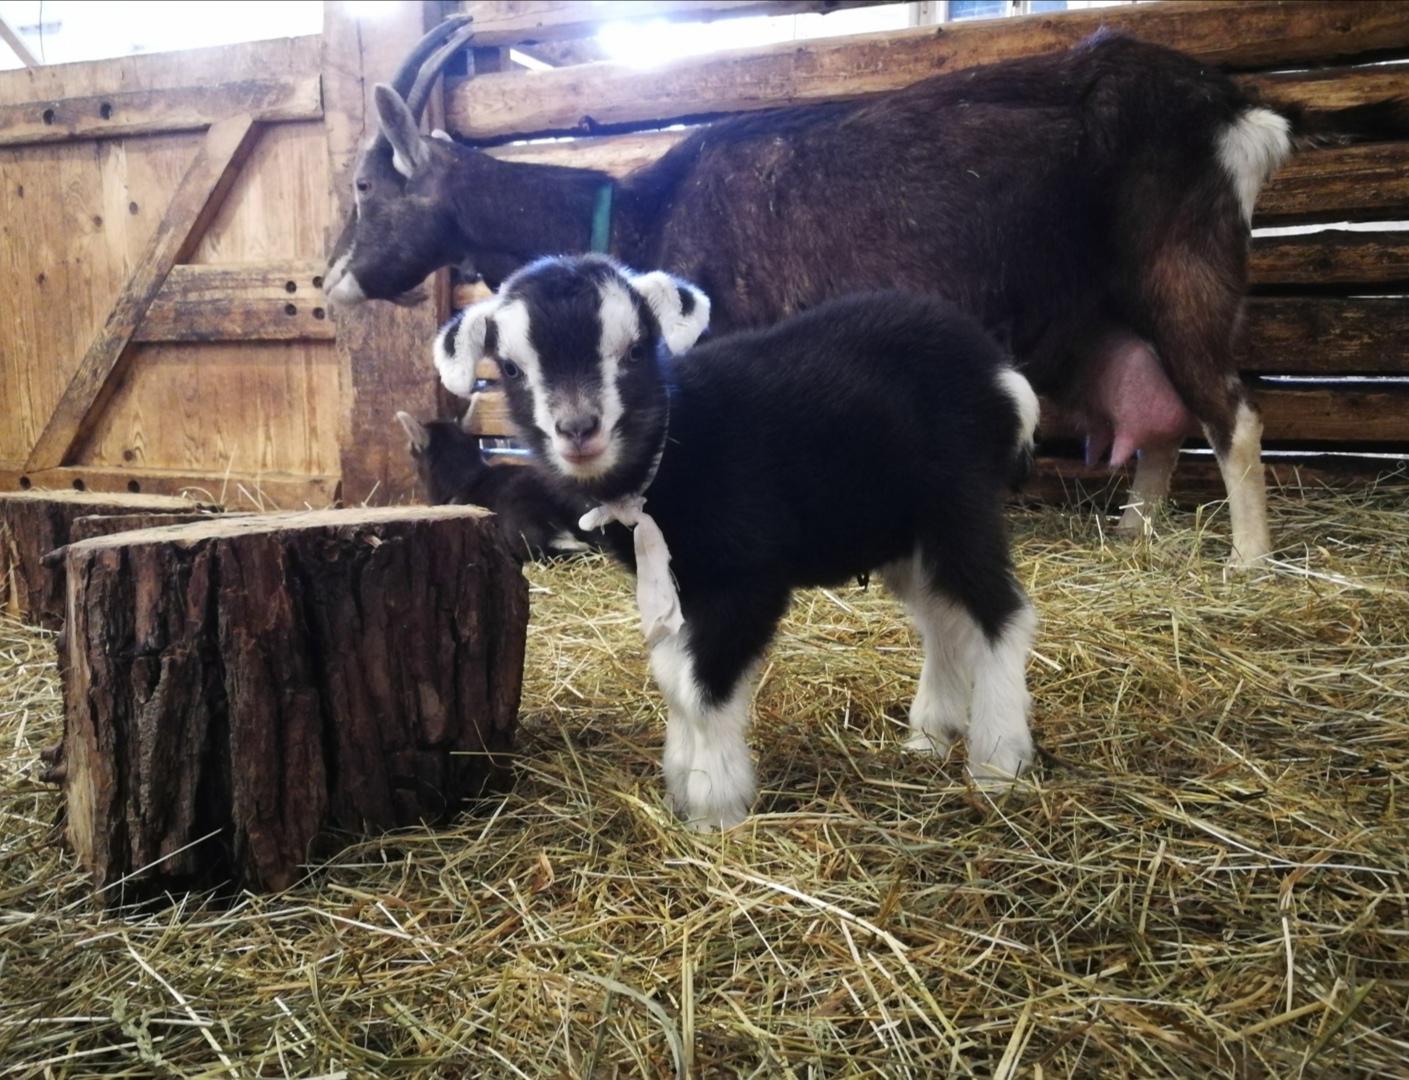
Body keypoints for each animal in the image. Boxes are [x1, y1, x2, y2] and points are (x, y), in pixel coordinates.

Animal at [433, 254, 1041, 830]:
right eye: (512, 367)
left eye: (635, 350)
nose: (579, 429)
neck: (674, 449)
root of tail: (1000, 375)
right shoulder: (680, 585)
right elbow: (674, 680)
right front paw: (681, 780)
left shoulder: (746, 578)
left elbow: (702, 687)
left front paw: (713, 804)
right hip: (906, 533)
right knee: (944, 620)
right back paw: (931, 734)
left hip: (958, 504)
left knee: (1001, 612)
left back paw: (997, 760)